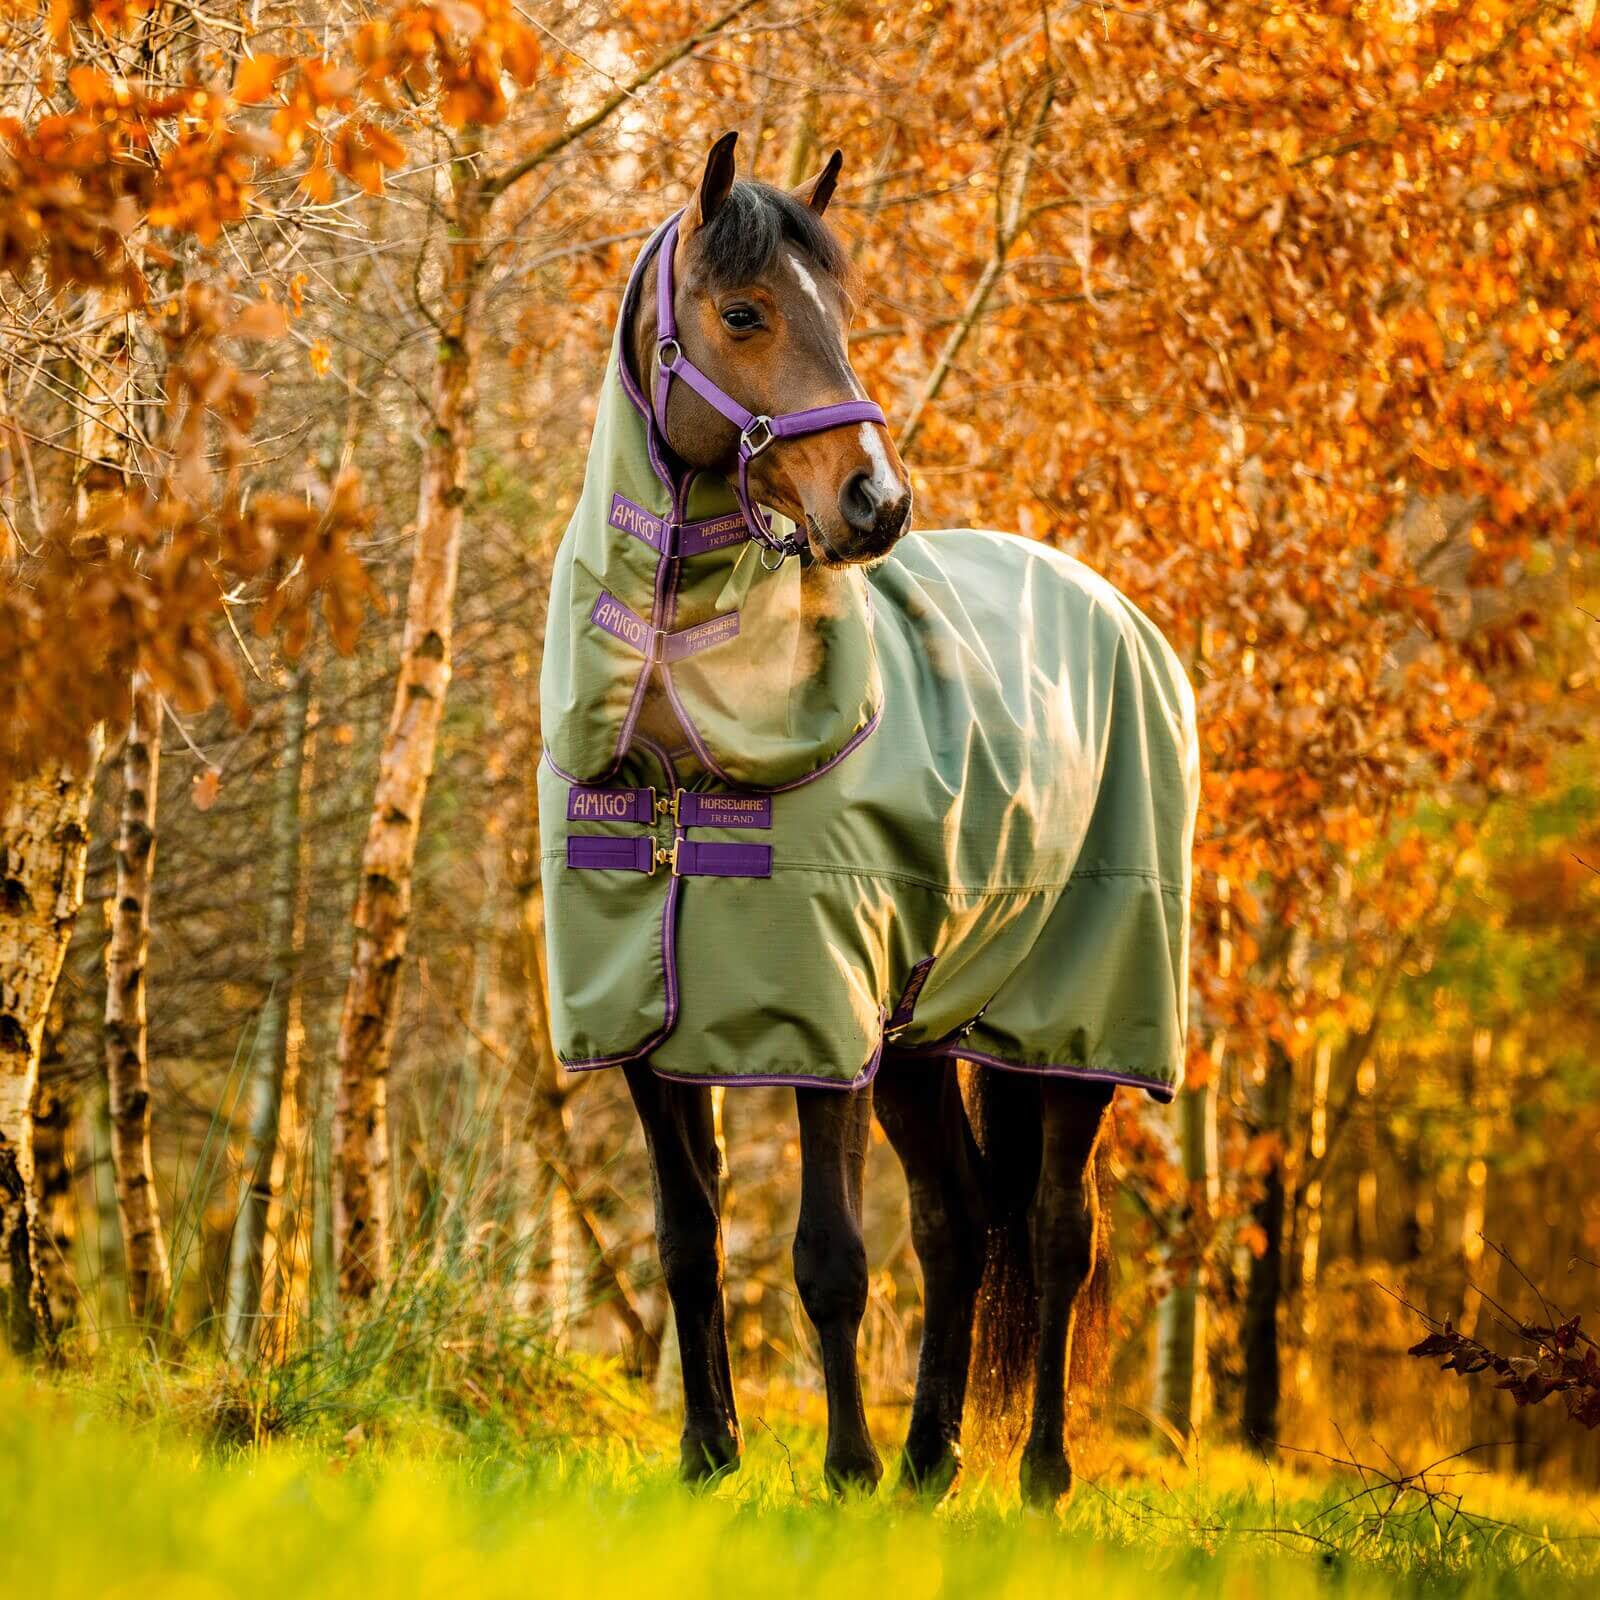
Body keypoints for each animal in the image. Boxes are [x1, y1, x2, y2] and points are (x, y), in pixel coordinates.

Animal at [536, 131, 1199, 1505]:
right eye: (744, 311)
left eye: (837, 312)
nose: (875, 504)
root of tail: (1121, 616)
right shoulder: (649, 1028)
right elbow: (688, 1238)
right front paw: (710, 1457)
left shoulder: (814, 1019)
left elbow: (830, 1257)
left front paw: (836, 1471)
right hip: (923, 1036)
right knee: (956, 1221)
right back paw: (928, 1463)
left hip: (1079, 1027)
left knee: (1054, 1232)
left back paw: (1038, 1473)